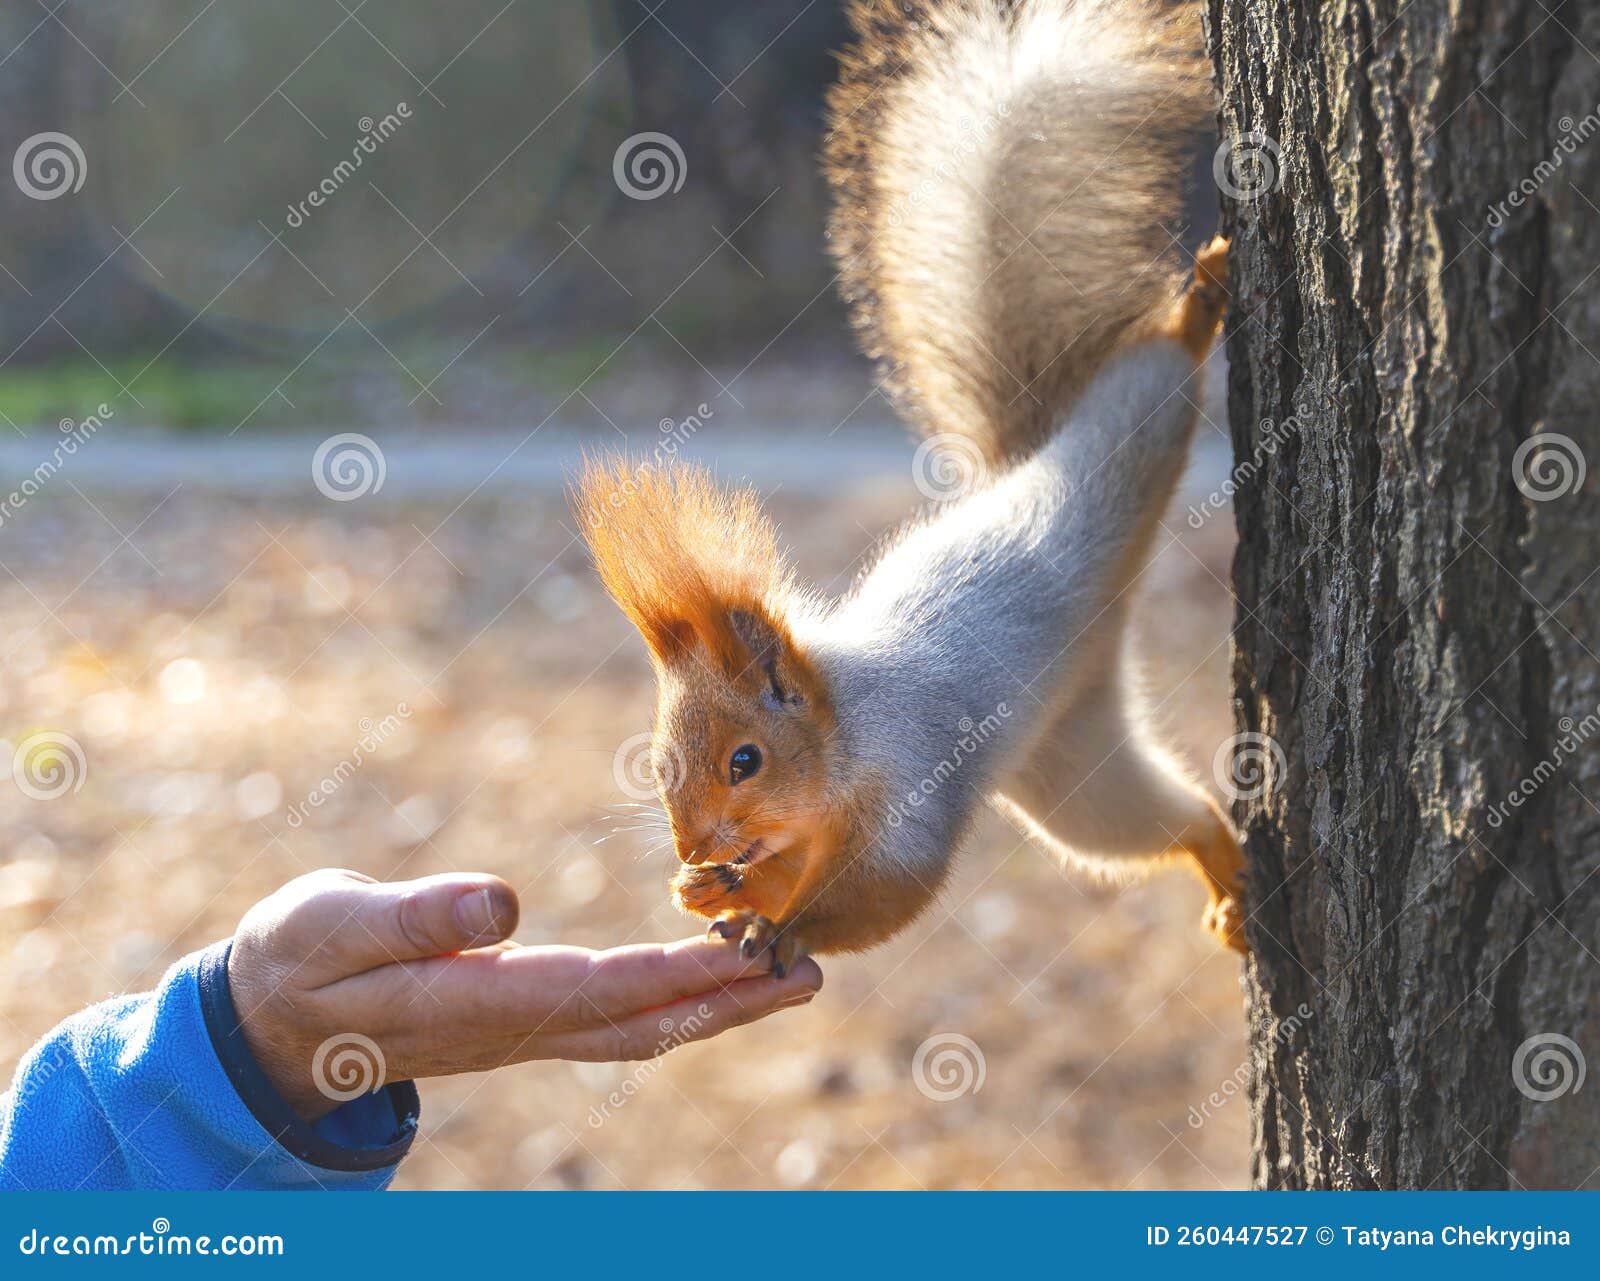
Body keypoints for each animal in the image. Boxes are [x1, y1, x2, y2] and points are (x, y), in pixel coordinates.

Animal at [573, 0, 1245, 974]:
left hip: (1124, 448)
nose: (691, 846)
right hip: (1070, 764)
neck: (844, 731)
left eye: (746, 762)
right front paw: (707, 892)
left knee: (1154, 384)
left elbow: (888, 890)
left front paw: (782, 928)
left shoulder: (910, 781)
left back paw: (1199, 304)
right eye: (660, 765)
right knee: (1164, 815)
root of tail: (1025, 466)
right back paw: (1224, 871)